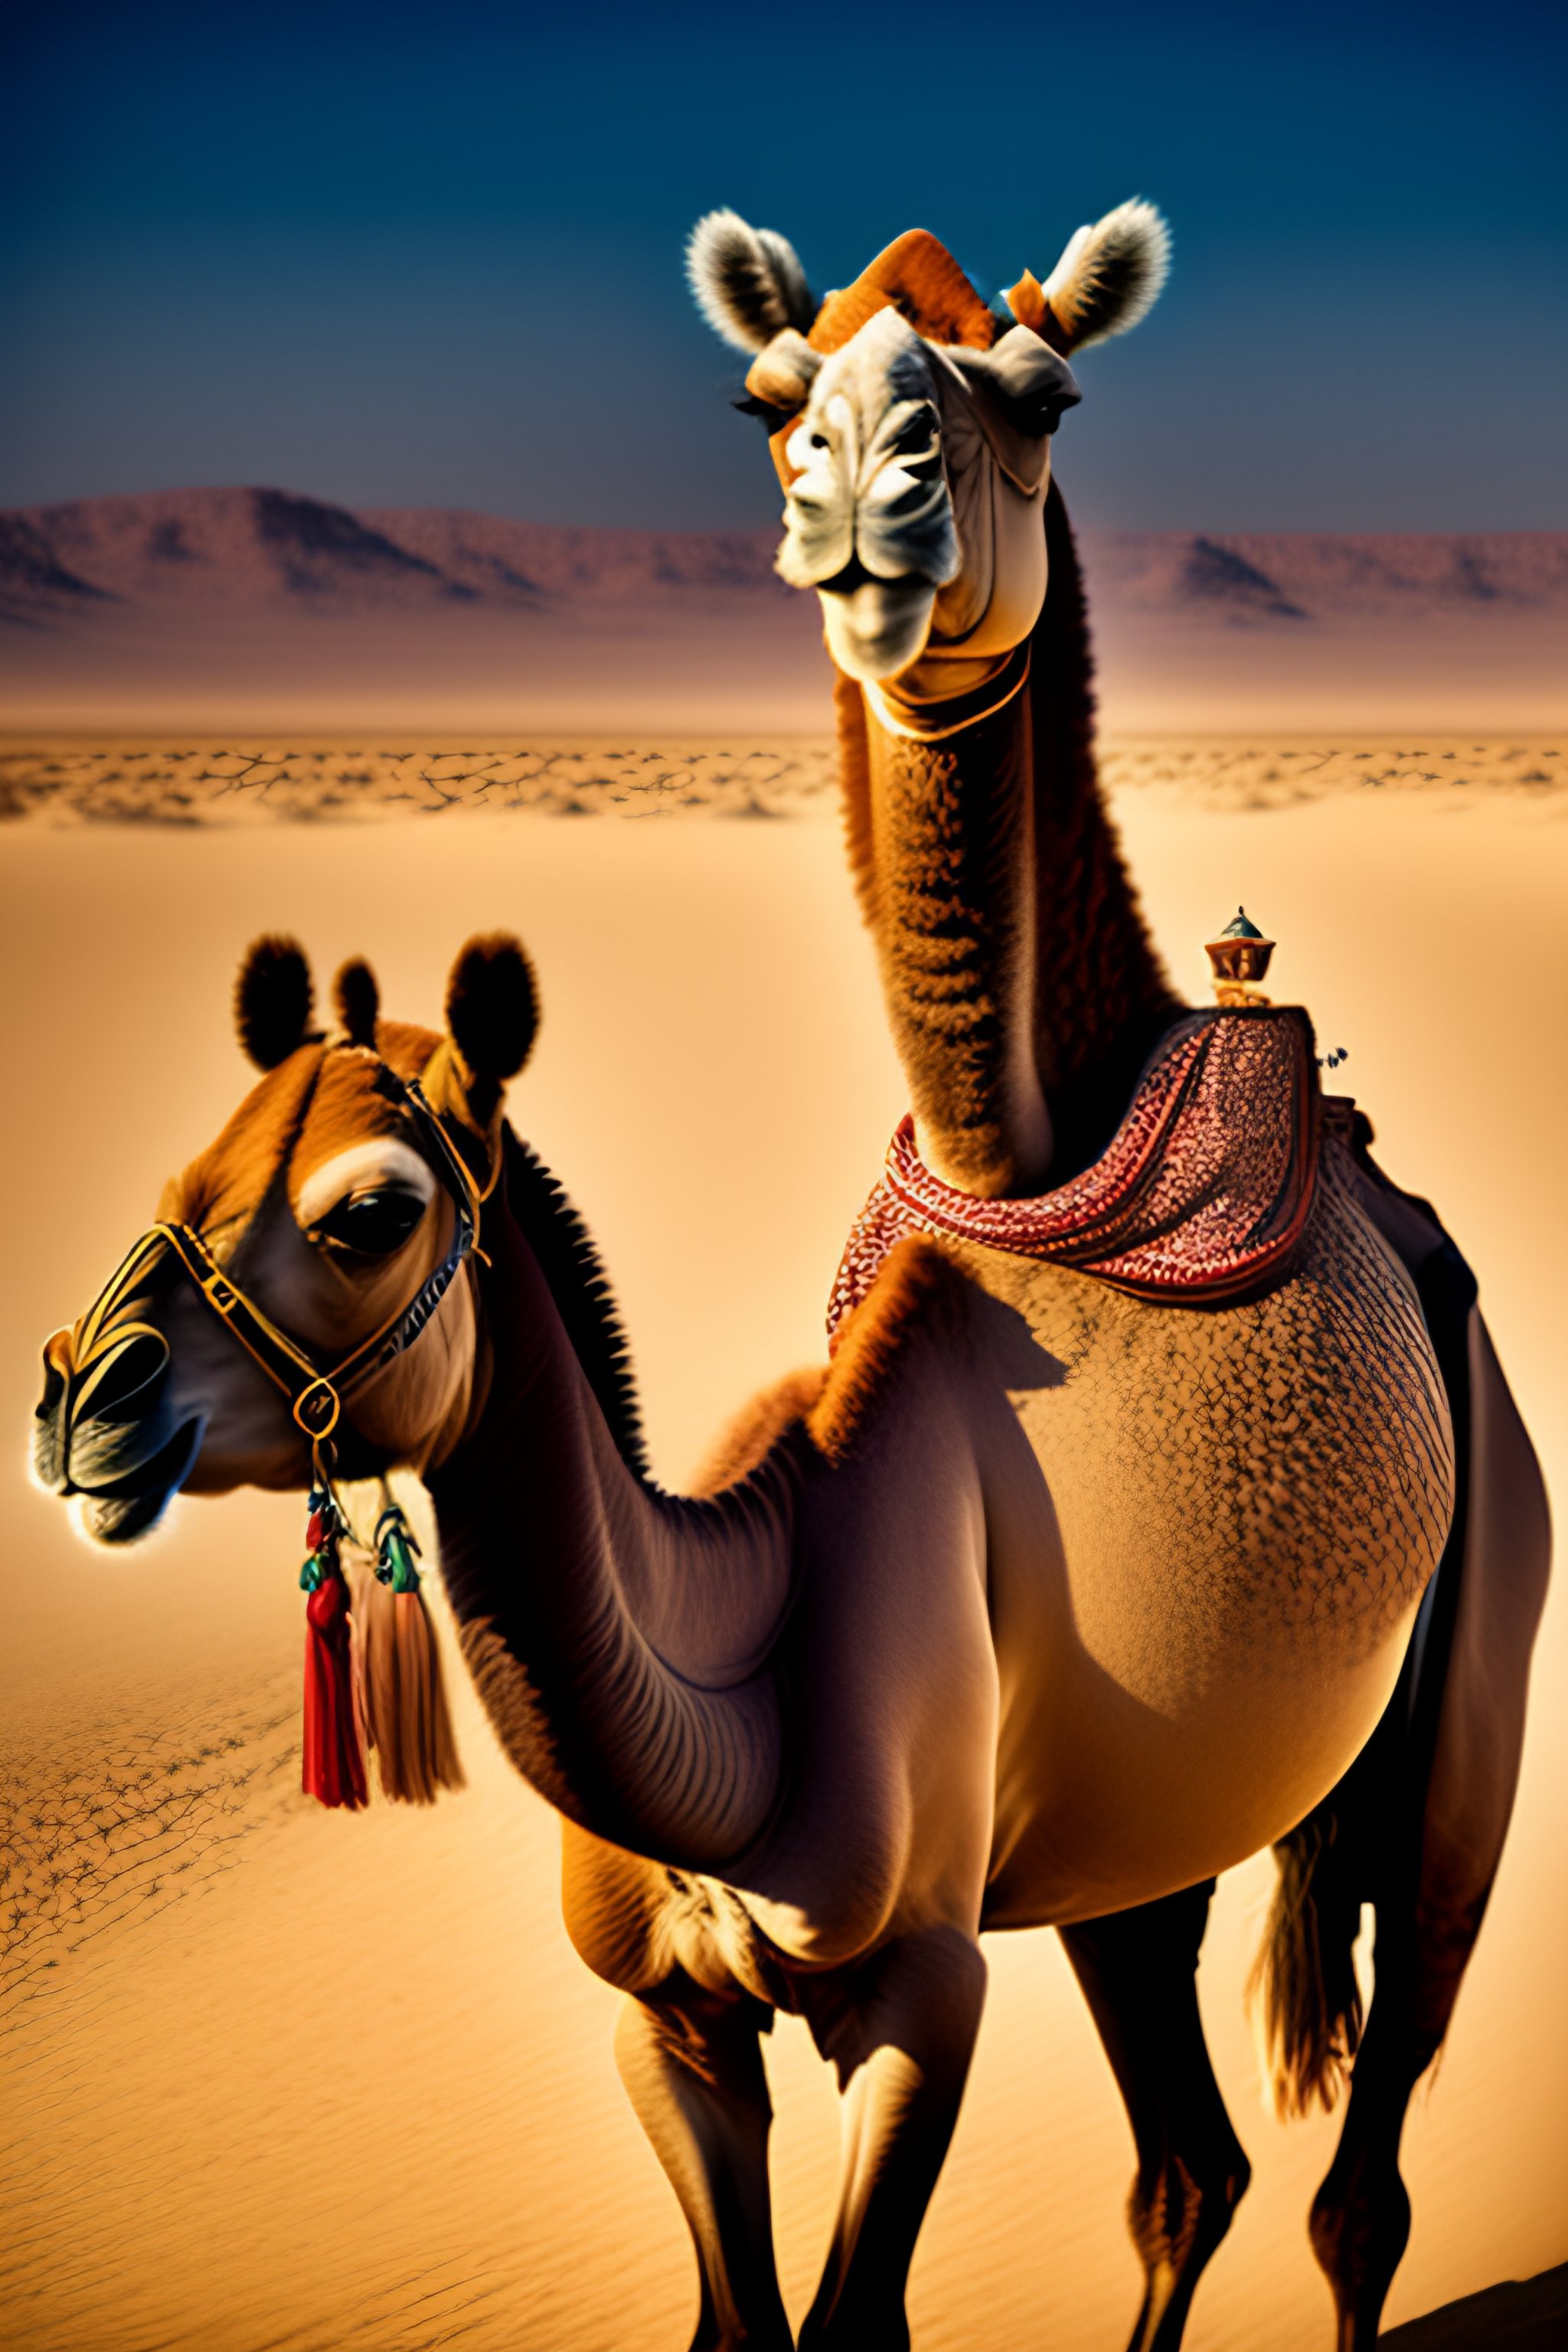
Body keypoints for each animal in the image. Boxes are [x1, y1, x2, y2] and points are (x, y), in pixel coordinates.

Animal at [685, 199, 1553, 2345]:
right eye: (768, 397)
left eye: (1040, 390)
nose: (863, 491)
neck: (1038, 1158)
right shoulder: (1061, 1775)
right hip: (1146, 1843)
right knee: (1192, 2167)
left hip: (1459, 1732)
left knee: (1359, 2173)